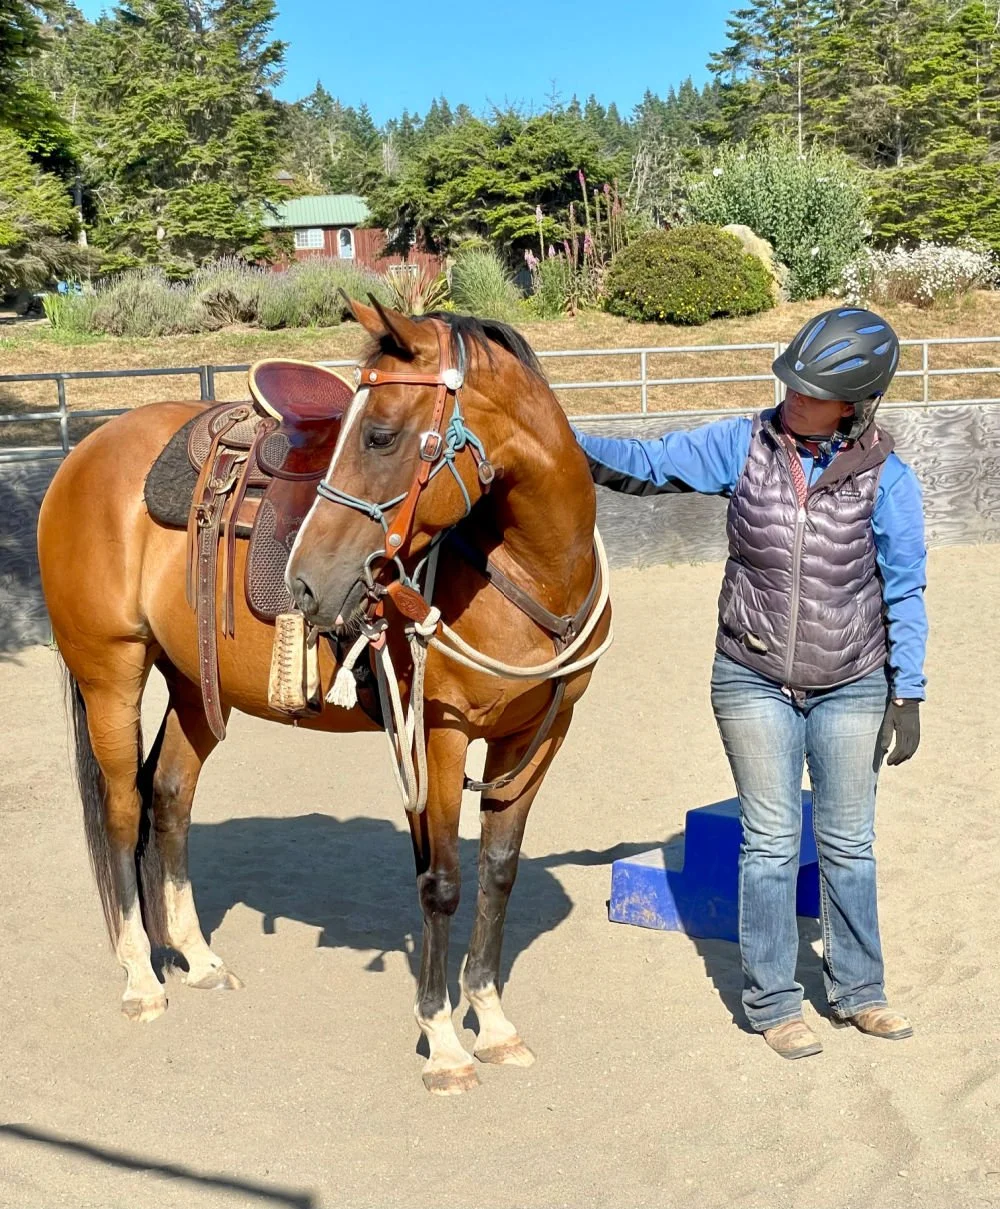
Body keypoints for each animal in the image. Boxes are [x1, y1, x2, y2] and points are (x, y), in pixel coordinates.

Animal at [37, 298, 611, 1096]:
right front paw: (445, 1043)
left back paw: (197, 958)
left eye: (380, 434)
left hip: (194, 685)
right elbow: (441, 880)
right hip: (109, 673)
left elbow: (497, 873)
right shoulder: (438, 734)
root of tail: (83, 454)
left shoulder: (537, 737)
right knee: (123, 810)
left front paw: (492, 1023)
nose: (306, 582)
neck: (529, 571)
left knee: (170, 797)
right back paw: (140, 978)